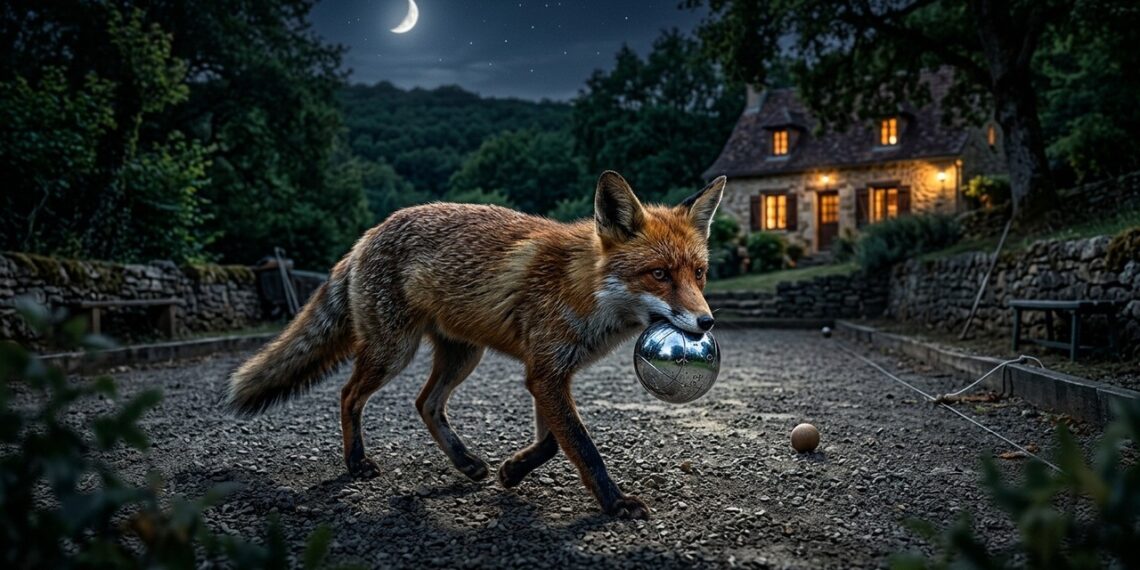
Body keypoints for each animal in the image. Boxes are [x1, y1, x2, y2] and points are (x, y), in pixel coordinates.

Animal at [227, 170, 726, 519]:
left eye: (699, 273)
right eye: (659, 274)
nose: (707, 321)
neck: (584, 288)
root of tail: (368, 234)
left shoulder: (549, 373)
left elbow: (552, 443)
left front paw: (512, 471)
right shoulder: (545, 372)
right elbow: (583, 447)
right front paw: (615, 504)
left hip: (464, 355)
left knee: (425, 403)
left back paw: (466, 463)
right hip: (394, 352)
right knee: (349, 395)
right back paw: (356, 463)